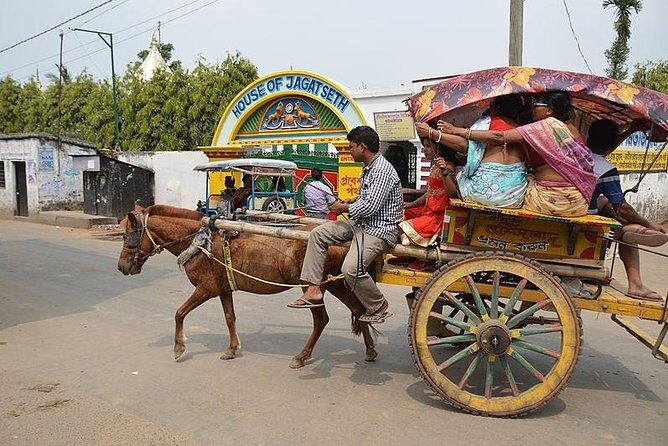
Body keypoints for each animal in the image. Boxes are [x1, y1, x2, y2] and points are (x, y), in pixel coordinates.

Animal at [116, 204, 378, 369]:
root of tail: (347, 239)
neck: (201, 241)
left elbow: (179, 312)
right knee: (359, 311)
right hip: (336, 282)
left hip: (311, 287)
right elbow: (230, 318)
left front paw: (179, 347)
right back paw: (370, 351)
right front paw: (231, 350)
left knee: (322, 320)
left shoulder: (205, 289)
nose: (121, 266)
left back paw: (301, 357)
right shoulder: (223, 289)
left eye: (128, 234)